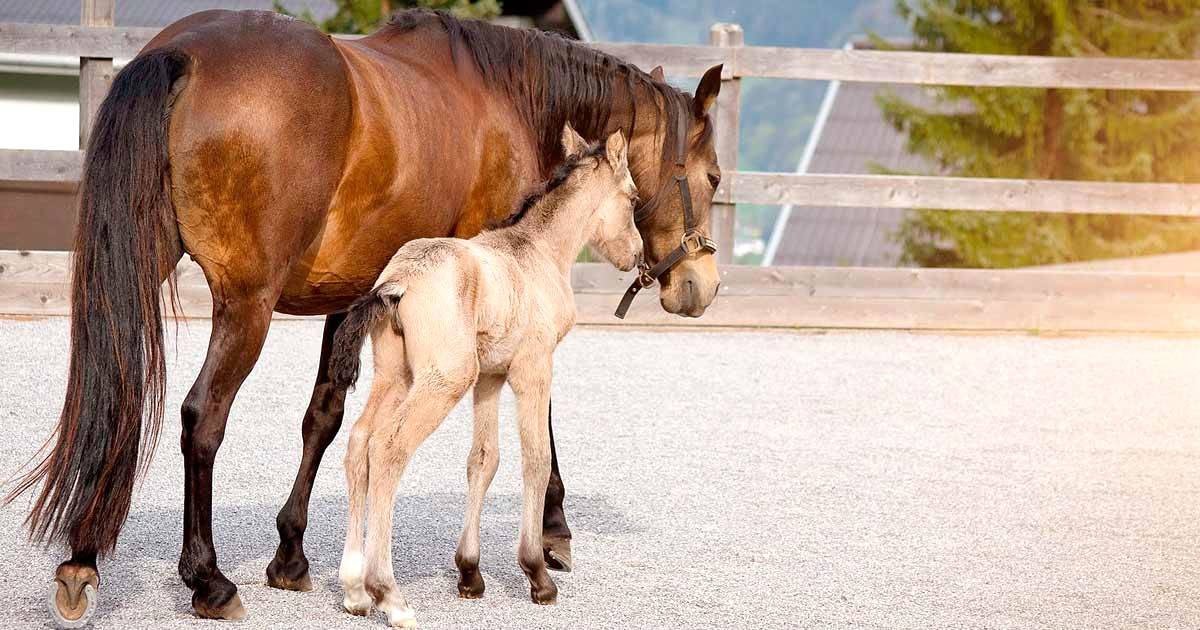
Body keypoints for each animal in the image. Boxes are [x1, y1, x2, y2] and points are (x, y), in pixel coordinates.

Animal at [330, 126, 641, 627]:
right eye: (633, 199)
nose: (636, 254)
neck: (536, 253)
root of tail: (398, 282)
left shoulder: (490, 378)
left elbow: (483, 460)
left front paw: (470, 574)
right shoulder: (534, 367)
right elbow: (536, 459)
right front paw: (537, 574)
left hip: (396, 376)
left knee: (360, 442)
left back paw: (356, 589)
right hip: (444, 379)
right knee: (389, 447)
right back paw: (389, 594)